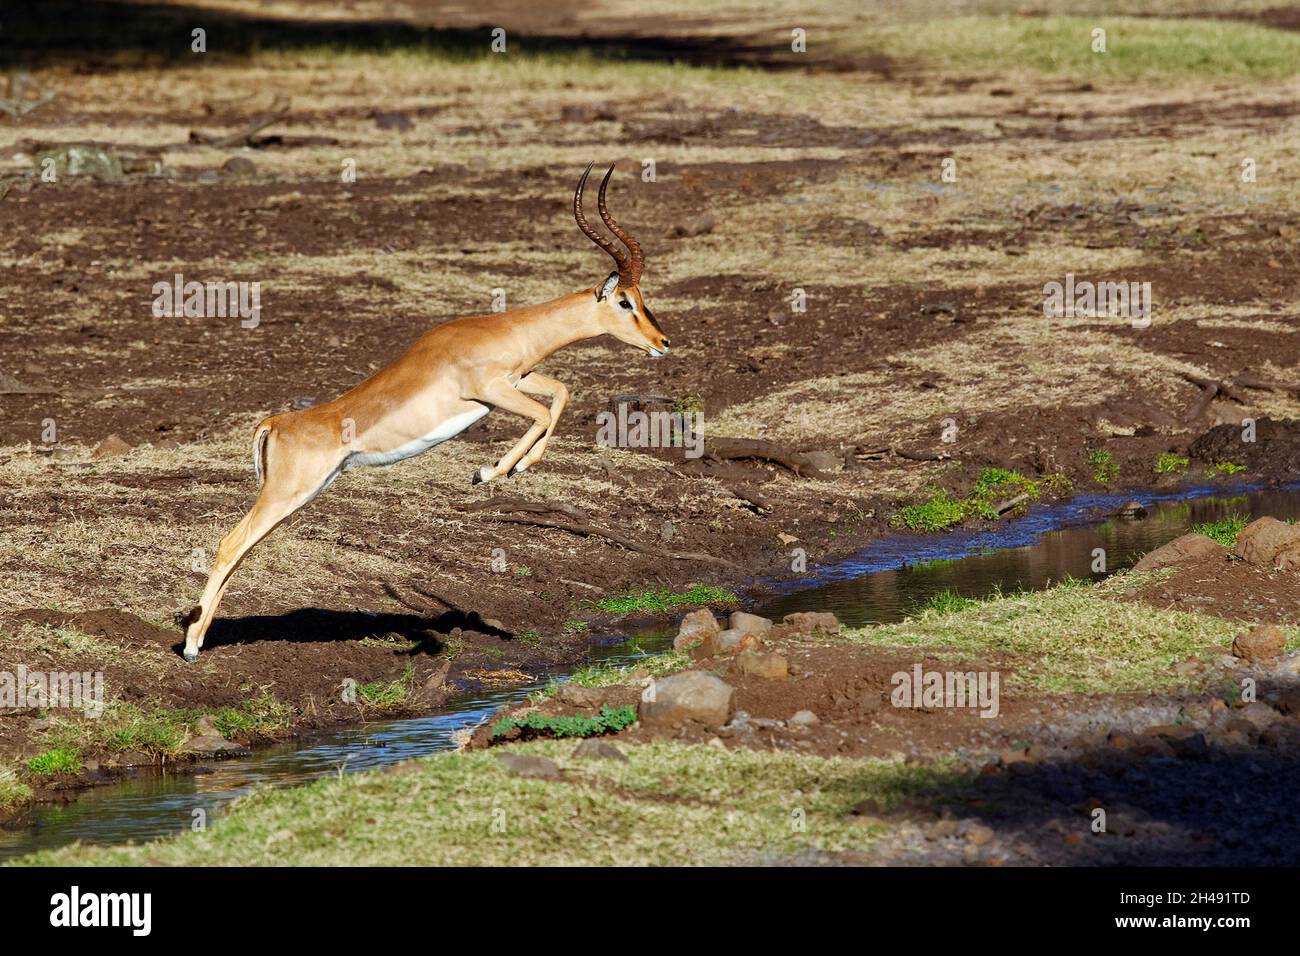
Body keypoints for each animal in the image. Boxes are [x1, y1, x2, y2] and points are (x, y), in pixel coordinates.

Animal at [180, 163, 669, 661]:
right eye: (625, 300)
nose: (662, 342)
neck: (506, 330)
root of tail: (276, 423)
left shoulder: (518, 380)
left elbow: (560, 394)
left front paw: (510, 468)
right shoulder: (490, 390)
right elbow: (542, 414)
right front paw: (489, 472)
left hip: (302, 493)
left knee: (242, 548)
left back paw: (203, 636)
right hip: (286, 493)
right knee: (230, 543)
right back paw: (192, 647)